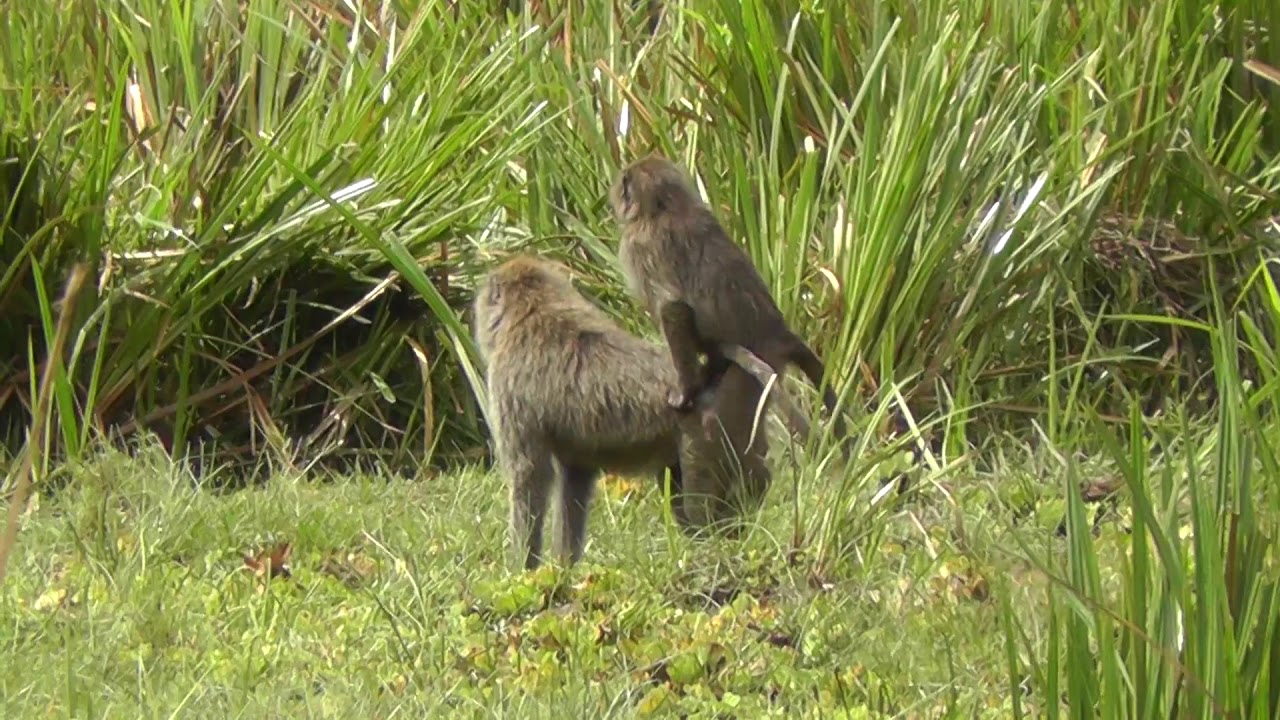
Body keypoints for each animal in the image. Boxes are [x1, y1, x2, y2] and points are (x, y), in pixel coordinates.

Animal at [471, 254, 771, 571]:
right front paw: (565, 567)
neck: (533, 311)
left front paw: (520, 570)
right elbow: (575, 477)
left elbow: (528, 474)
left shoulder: (507, 384)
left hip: (706, 435)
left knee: (698, 507)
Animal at [608, 154, 848, 448]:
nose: (616, 190)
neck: (666, 208)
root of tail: (778, 331)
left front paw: (685, 392)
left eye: (624, 182)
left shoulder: (637, 248)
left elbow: (672, 307)